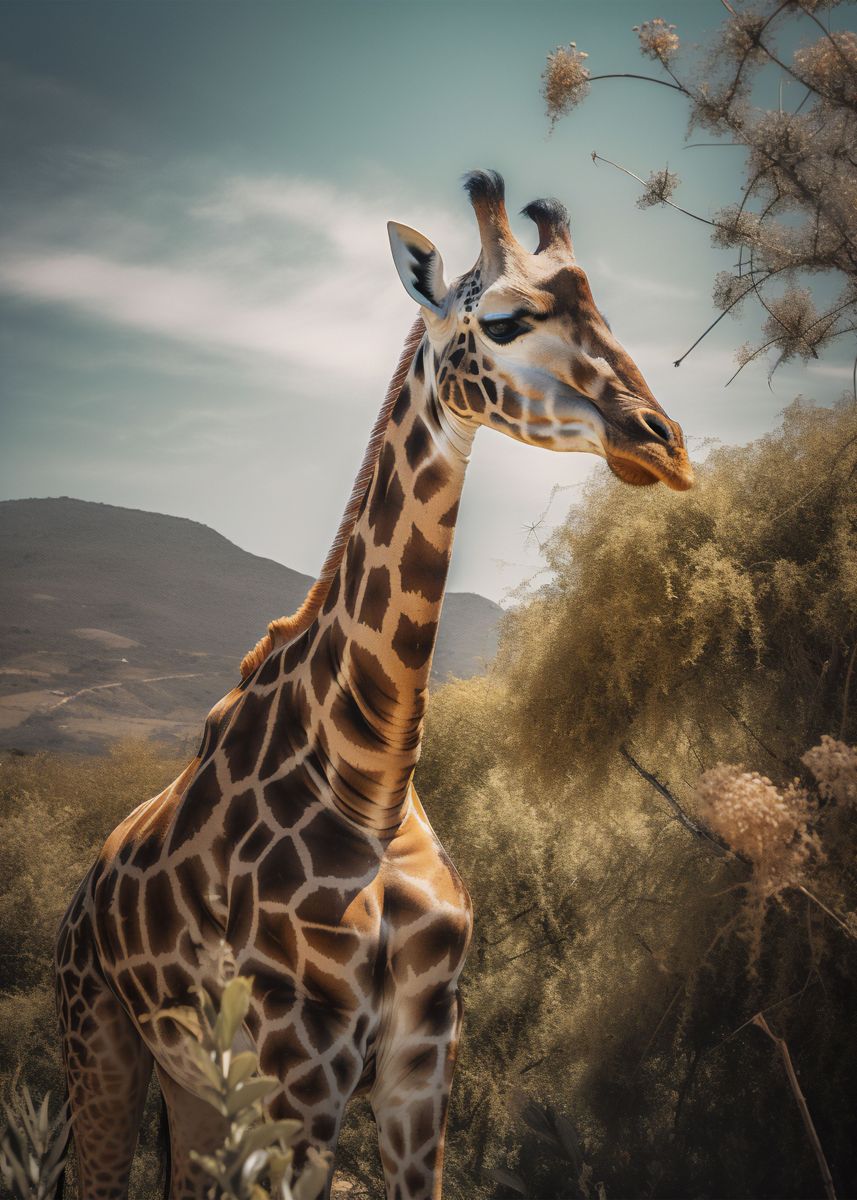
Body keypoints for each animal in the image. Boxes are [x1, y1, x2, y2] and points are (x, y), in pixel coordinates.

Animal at [55, 170, 693, 1200]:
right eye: (504, 321)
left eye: (605, 309)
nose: (662, 443)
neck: (371, 779)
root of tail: (82, 895)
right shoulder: (299, 1062)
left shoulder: (425, 1056)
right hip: (100, 1043)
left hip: (193, 1086)